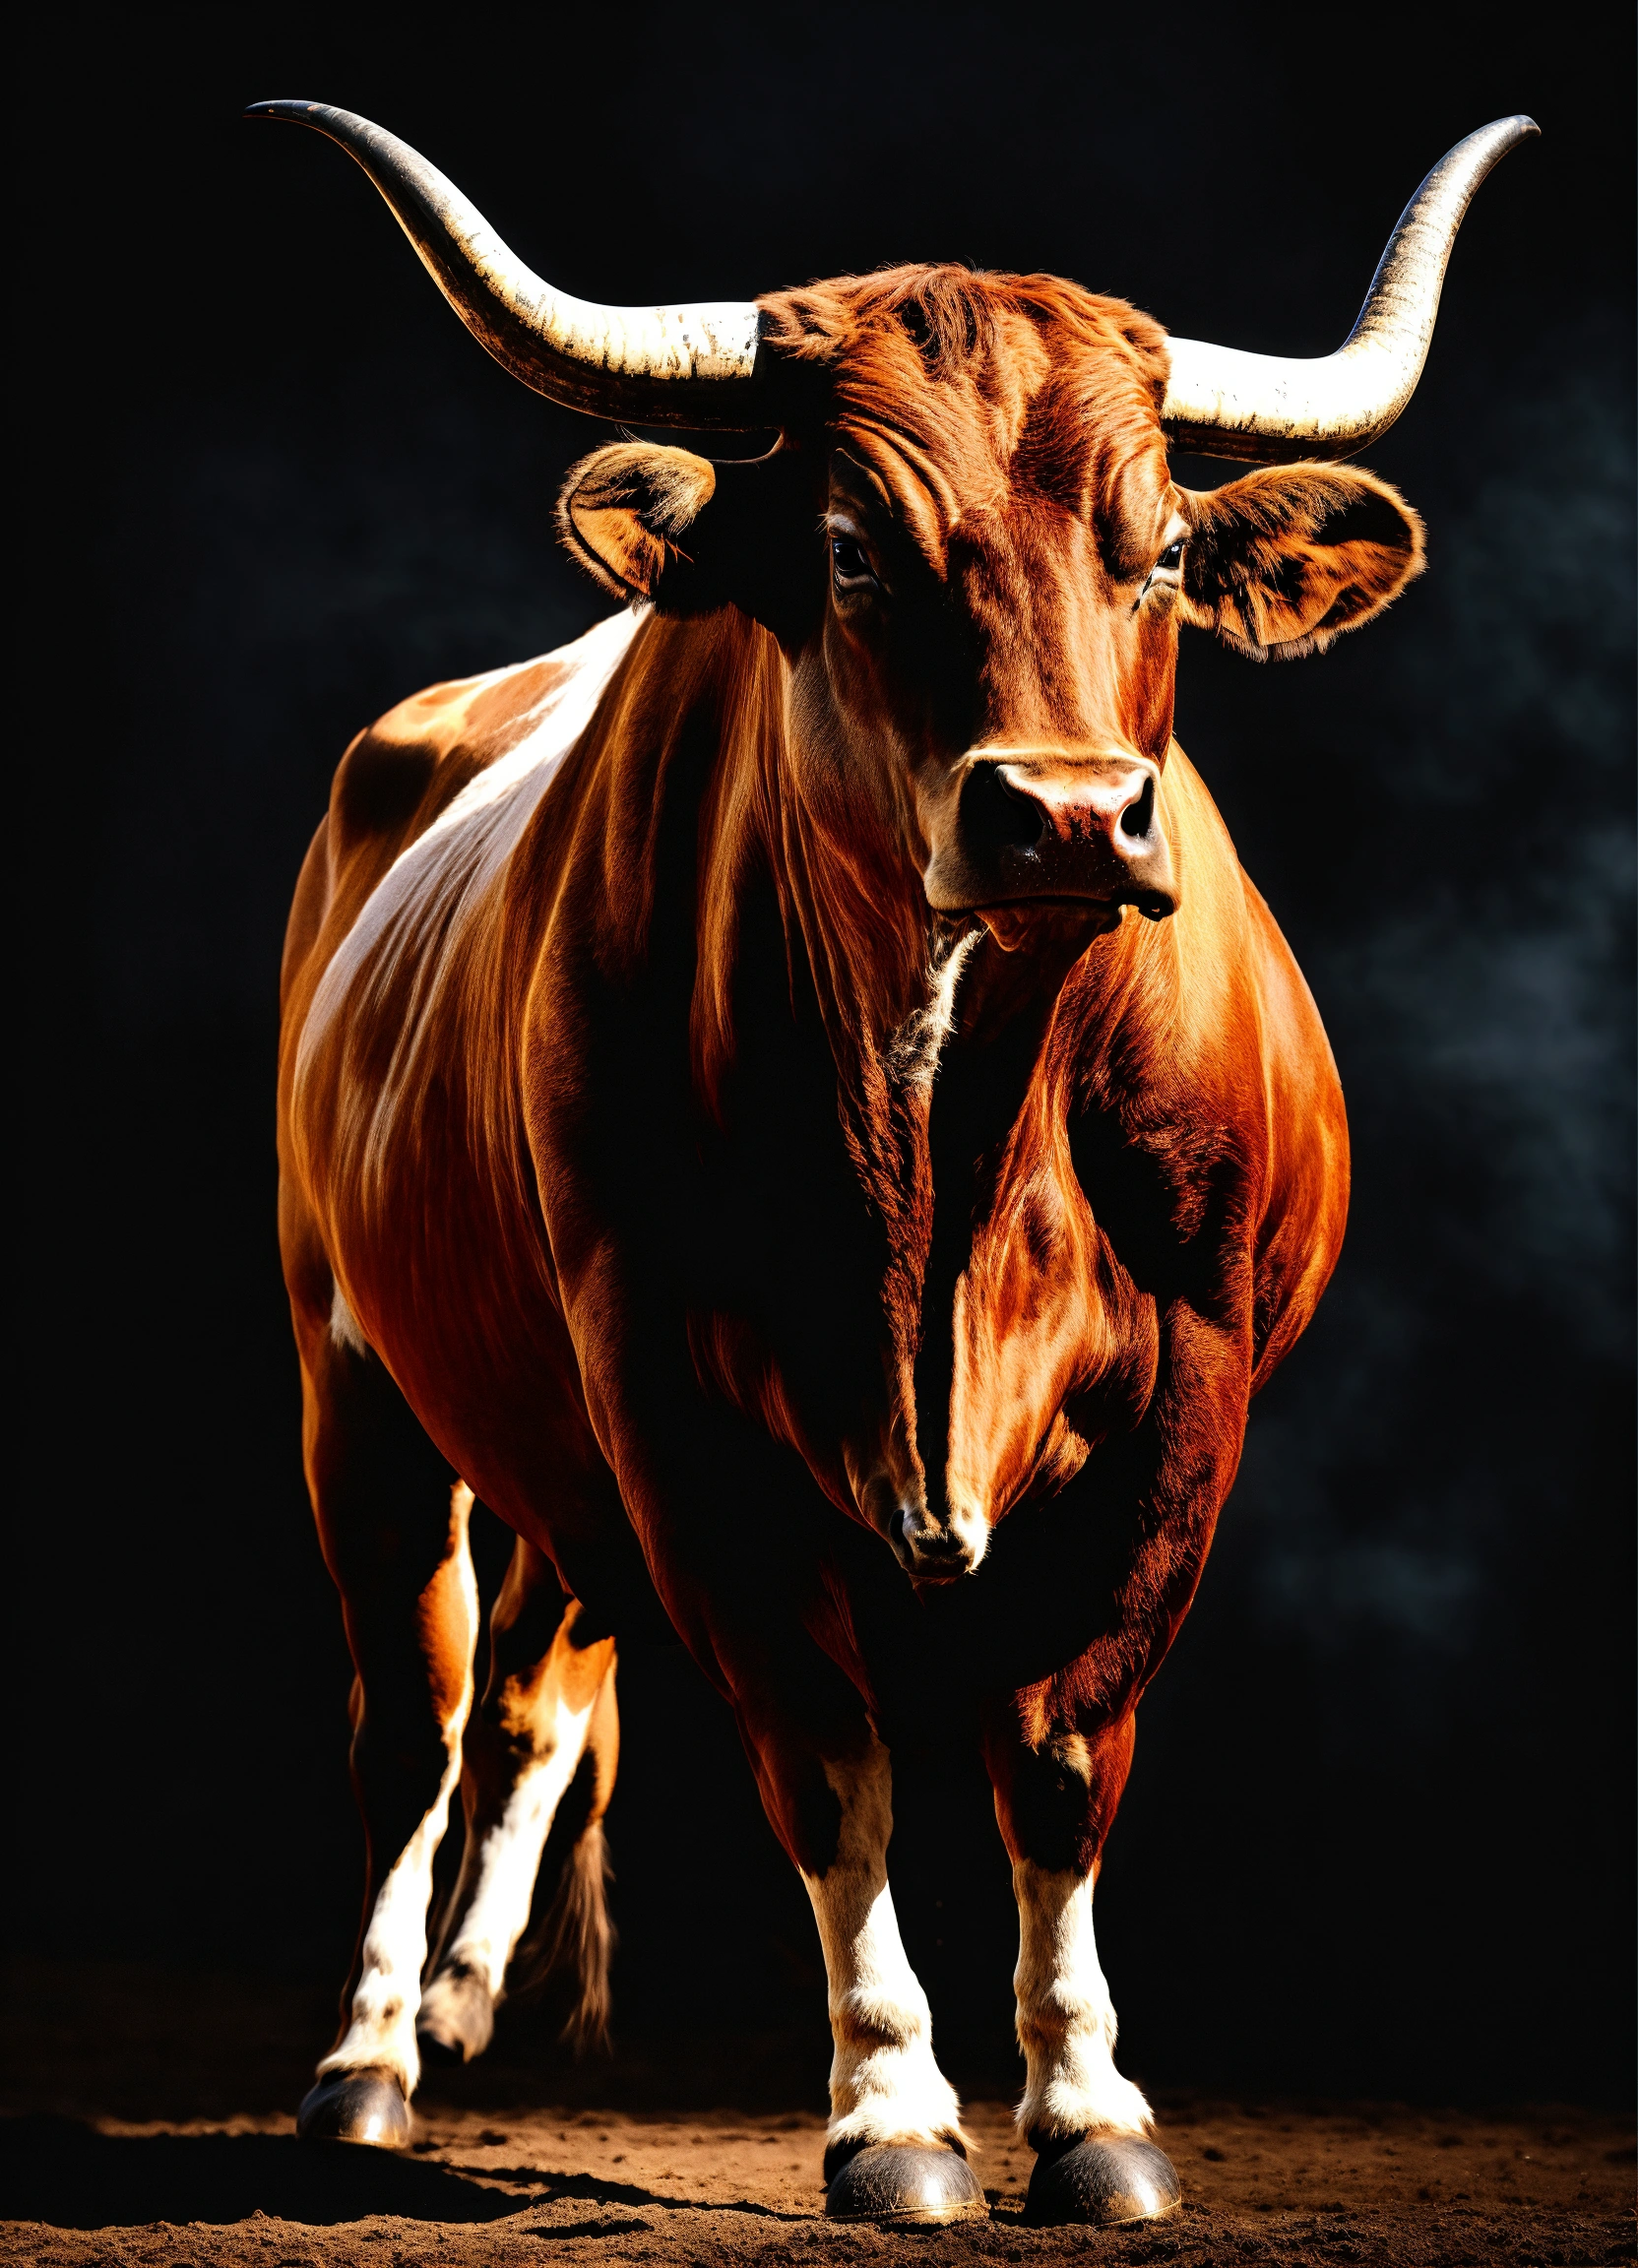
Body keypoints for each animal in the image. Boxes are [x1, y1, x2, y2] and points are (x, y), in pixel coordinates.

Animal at [258, 102, 1535, 2225]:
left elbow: (1058, 1746)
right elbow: (824, 1750)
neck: (953, 1134)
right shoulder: (673, 1405)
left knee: (528, 1695)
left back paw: (454, 2001)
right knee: (411, 1721)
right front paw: (891, 2106)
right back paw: (366, 2058)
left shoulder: (1191, 1390)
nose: (1067, 814)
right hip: (353, 1378)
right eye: (853, 546)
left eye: (1159, 546)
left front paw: (1090, 2105)